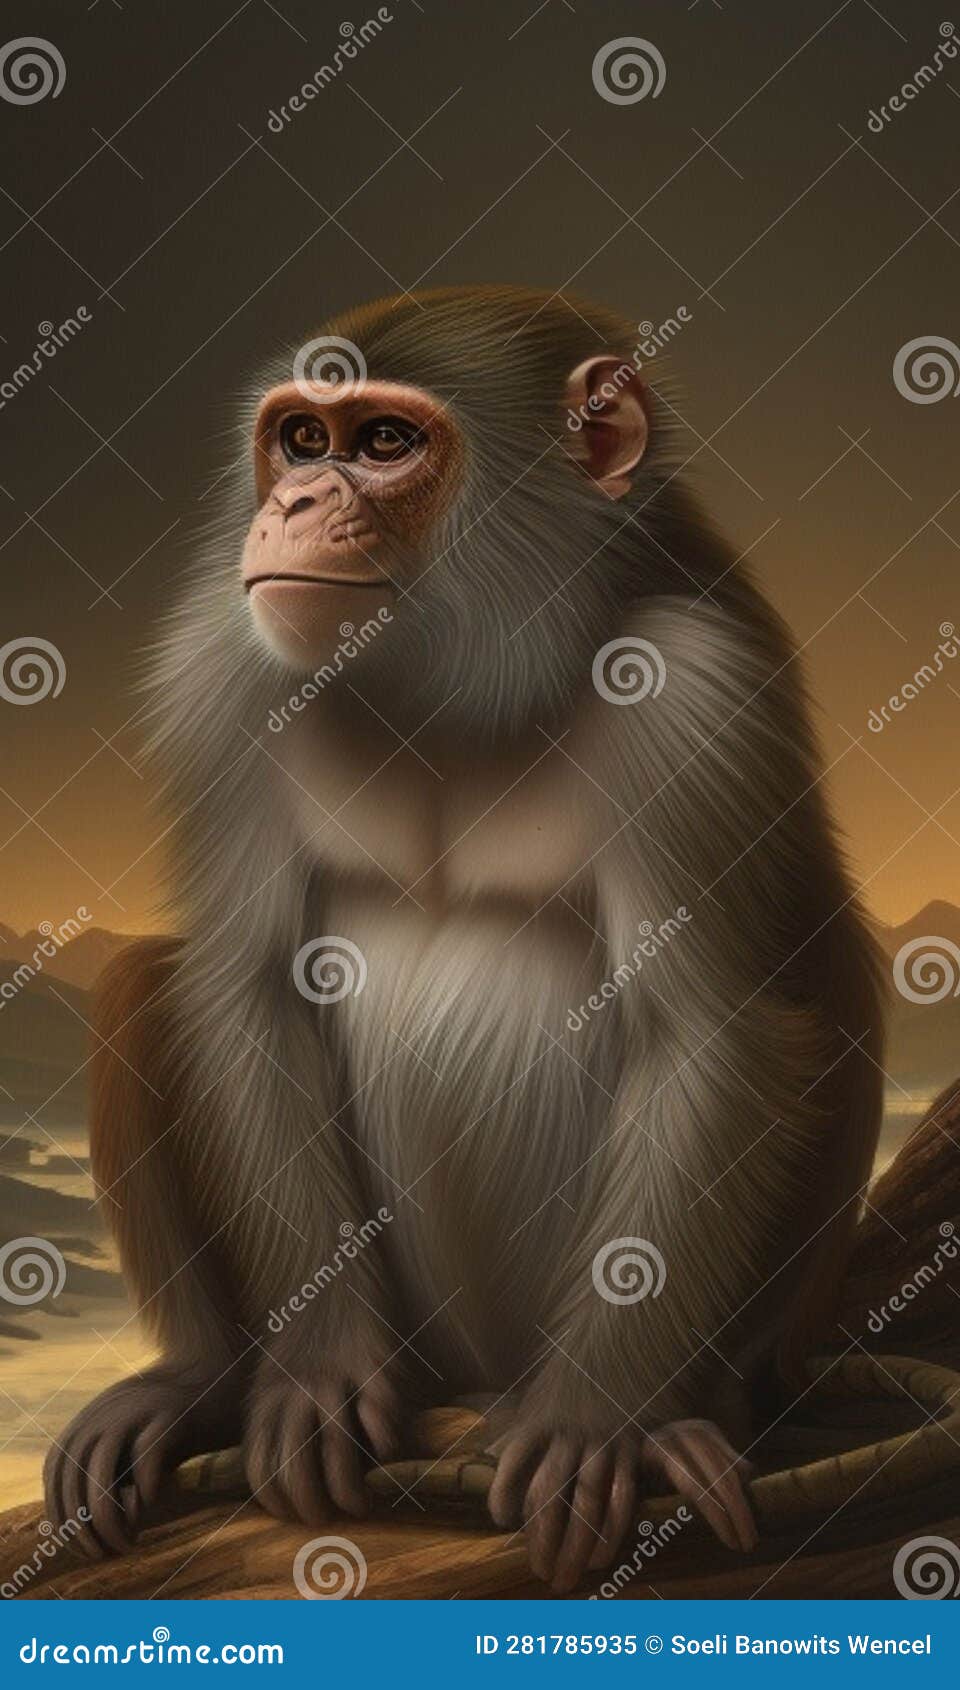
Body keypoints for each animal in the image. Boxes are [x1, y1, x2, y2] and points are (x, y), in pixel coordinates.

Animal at [45, 285, 884, 1593]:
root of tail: (472, 1384)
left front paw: (598, 1418)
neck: (460, 675)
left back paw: (696, 1415)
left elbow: (712, 1034)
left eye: (386, 442)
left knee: (829, 992)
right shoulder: (222, 669)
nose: (293, 505)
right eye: (303, 438)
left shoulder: (698, 693)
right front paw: (318, 1368)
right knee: (148, 978)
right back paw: (202, 1381)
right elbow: (241, 987)